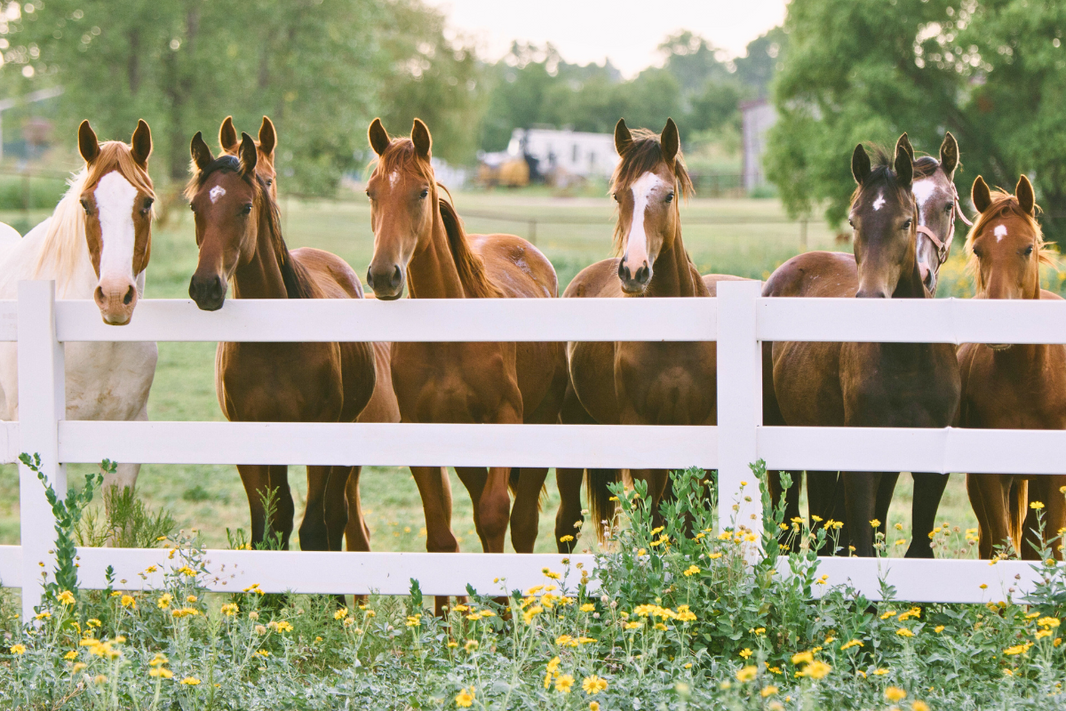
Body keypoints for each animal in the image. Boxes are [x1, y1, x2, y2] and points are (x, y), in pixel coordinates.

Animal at [187, 131, 389, 555]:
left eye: (246, 207)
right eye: (195, 205)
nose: (206, 287)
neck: (274, 344)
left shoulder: (320, 433)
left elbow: (312, 529)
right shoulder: (252, 437)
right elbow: (267, 530)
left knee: (335, 516)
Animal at [364, 118, 568, 607]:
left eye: (421, 191)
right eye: (371, 192)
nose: (383, 276)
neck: (448, 338)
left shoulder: (506, 421)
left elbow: (496, 518)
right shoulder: (425, 431)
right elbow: (441, 535)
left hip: (540, 422)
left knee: (521, 524)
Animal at [558, 118, 746, 547]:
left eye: (668, 194)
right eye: (618, 195)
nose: (633, 270)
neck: (670, 339)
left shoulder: (697, 436)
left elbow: (686, 526)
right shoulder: (644, 435)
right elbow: (655, 523)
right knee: (566, 522)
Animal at [763, 134, 961, 558]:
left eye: (906, 220)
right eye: (854, 221)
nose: (871, 297)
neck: (907, 358)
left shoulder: (928, 469)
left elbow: (913, 546)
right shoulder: (861, 463)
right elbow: (863, 546)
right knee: (789, 530)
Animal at [959, 175, 1066, 560]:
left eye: (1028, 247)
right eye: (979, 250)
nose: (998, 322)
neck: (1028, 380)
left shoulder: (1054, 476)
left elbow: (1050, 546)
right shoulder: (989, 476)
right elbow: (1002, 545)